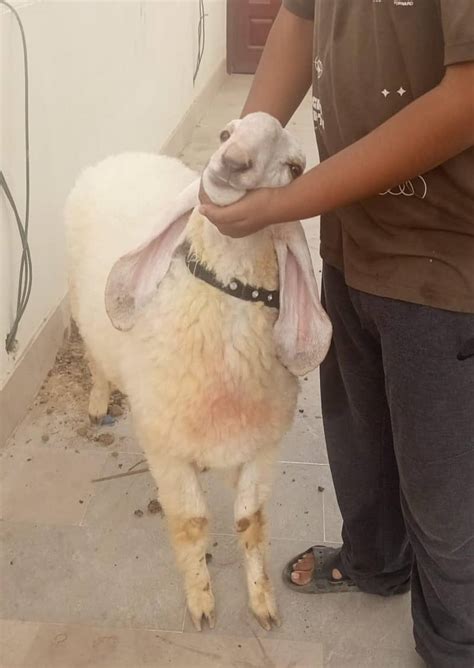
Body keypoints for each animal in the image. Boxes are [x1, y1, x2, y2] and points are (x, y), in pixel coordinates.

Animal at [65, 112, 332, 631]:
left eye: (294, 168)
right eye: (227, 133)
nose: (232, 162)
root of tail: (125, 156)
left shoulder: (261, 448)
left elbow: (251, 522)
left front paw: (262, 604)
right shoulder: (167, 450)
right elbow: (192, 524)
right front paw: (201, 603)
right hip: (75, 297)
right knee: (93, 354)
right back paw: (98, 402)